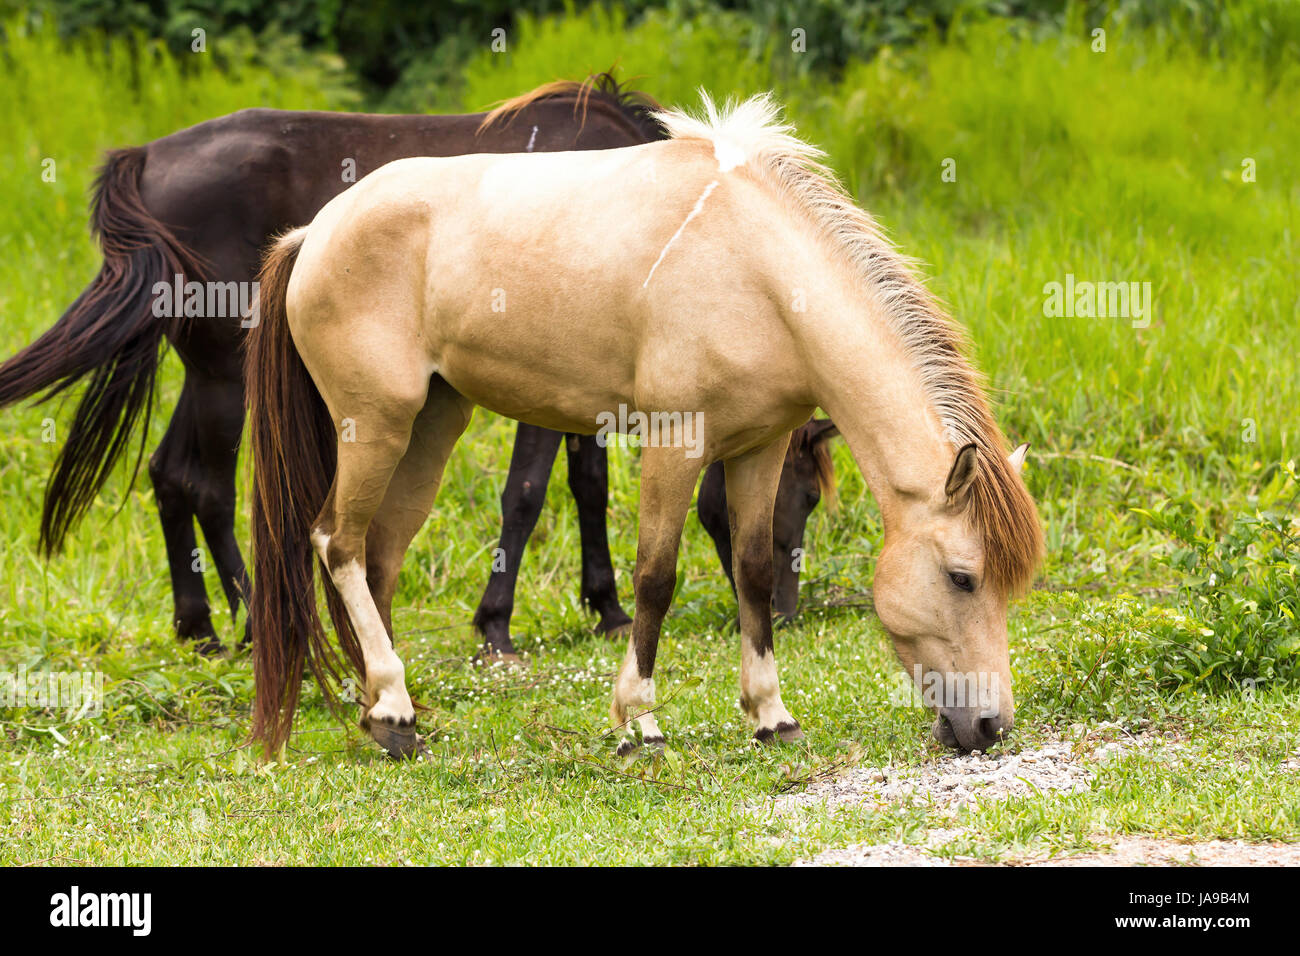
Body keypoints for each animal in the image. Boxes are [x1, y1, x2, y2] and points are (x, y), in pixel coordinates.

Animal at [0, 74, 831, 656]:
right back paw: (251, 620)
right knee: (203, 483)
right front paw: (496, 624)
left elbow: (587, 487)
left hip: (215, 375)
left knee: (173, 477)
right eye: (807, 494)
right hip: (225, 380)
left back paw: (203, 626)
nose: (787, 612)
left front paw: (605, 607)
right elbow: (527, 494)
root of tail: (147, 158)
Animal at [245, 93, 1043, 759]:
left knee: (379, 555)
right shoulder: (675, 444)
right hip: (374, 426)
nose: (990, 725)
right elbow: (655, 578)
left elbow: (752, 572)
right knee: (338, 543)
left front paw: (771, 715)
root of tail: (314, 233)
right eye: (963, 578)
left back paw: (389, 712)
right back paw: (393, 709)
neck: (756, 271)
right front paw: (641, 721)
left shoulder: (758, 450)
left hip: (430, 427)